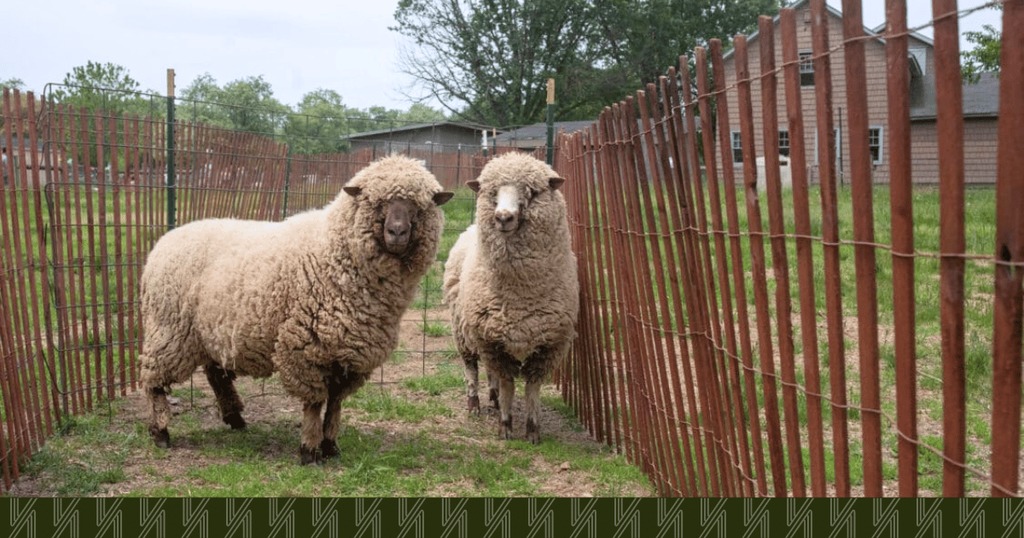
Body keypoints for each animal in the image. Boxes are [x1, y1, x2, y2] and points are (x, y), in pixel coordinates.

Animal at [139, 155, 453, 464]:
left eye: (420, 206)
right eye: (375, 202)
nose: (397, 232)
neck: (337, 253)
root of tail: (166, 239)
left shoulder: (350, 352)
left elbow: (335, 404)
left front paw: (331, 445)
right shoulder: (305, 347)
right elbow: (315, 403)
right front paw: (310, 450)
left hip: (212, 330)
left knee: (216, 373)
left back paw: (234, 417)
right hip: (170, 329)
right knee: (154, 379)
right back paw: (160, 432)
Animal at [443, 152, 579, 444]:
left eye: (532, 192)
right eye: (492, 192)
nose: (503, 217)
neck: (520, 295)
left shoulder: (548, 344)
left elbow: (532, 388)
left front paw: (532, 429)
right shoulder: (491, 341)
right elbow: (507, 384)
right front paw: (505, 426)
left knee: (489, 374)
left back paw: (492, 400)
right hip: (462, 330)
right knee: (471, 368)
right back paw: (474, 405)